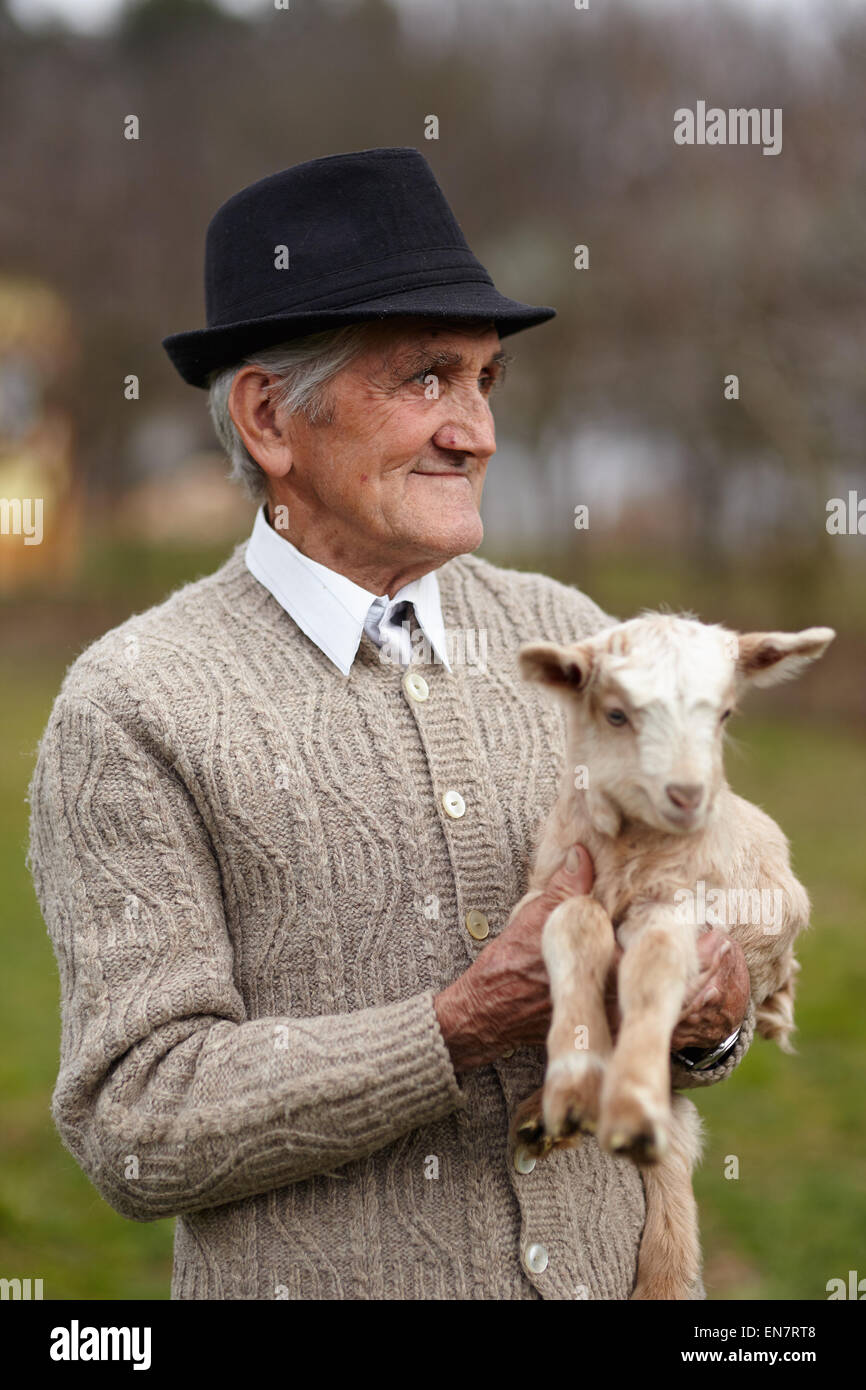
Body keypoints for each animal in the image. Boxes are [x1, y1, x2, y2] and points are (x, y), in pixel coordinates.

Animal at [507, 613, 835, 1300]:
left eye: (726, 713)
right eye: (616, 714)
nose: (688, 794)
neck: (629, 854)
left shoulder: (684, 909)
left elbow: (652, 966)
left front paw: (623, 1100)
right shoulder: (554, 889)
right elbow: (574, 930)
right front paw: (572, 1086)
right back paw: (541, 1119)